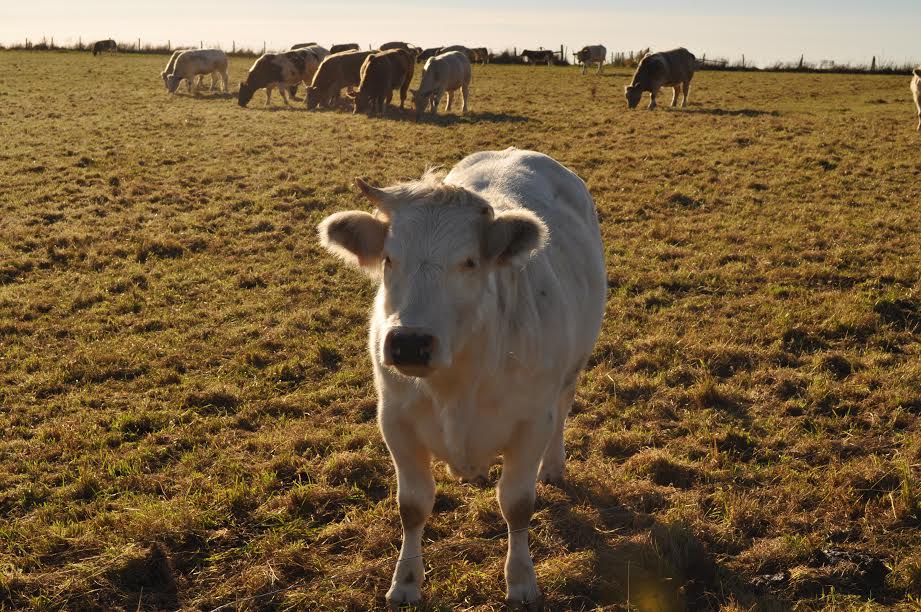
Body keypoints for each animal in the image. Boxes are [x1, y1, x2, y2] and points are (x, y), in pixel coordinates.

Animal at [317, 147, 606, 608]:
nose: (410, 342)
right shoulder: (395, 420)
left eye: (469, 262)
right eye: (389, 258)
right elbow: (413, 506)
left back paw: (553, 466)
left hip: (572, 367)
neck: (455, 384)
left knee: (563, 410)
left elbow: (517, 504)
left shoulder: (531, 422)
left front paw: (521, 580)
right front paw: (406, 582)